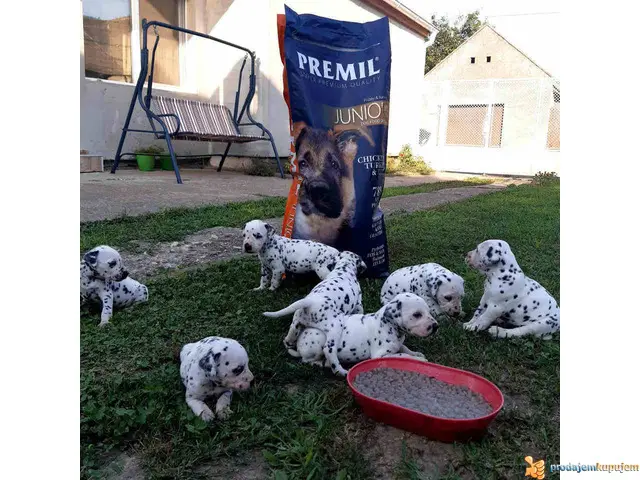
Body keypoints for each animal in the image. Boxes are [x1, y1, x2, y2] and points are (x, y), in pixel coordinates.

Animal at [292, 292, 438, 368]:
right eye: (417, 314)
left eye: (429, 311)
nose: (436, 326)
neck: (388, 325)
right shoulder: (379, 355)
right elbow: (402, 355)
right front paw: (418, 360)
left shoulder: (398, 344)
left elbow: (404, 348)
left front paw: (416, 353)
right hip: (318, 340)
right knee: (308, 360)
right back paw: (324, 363)